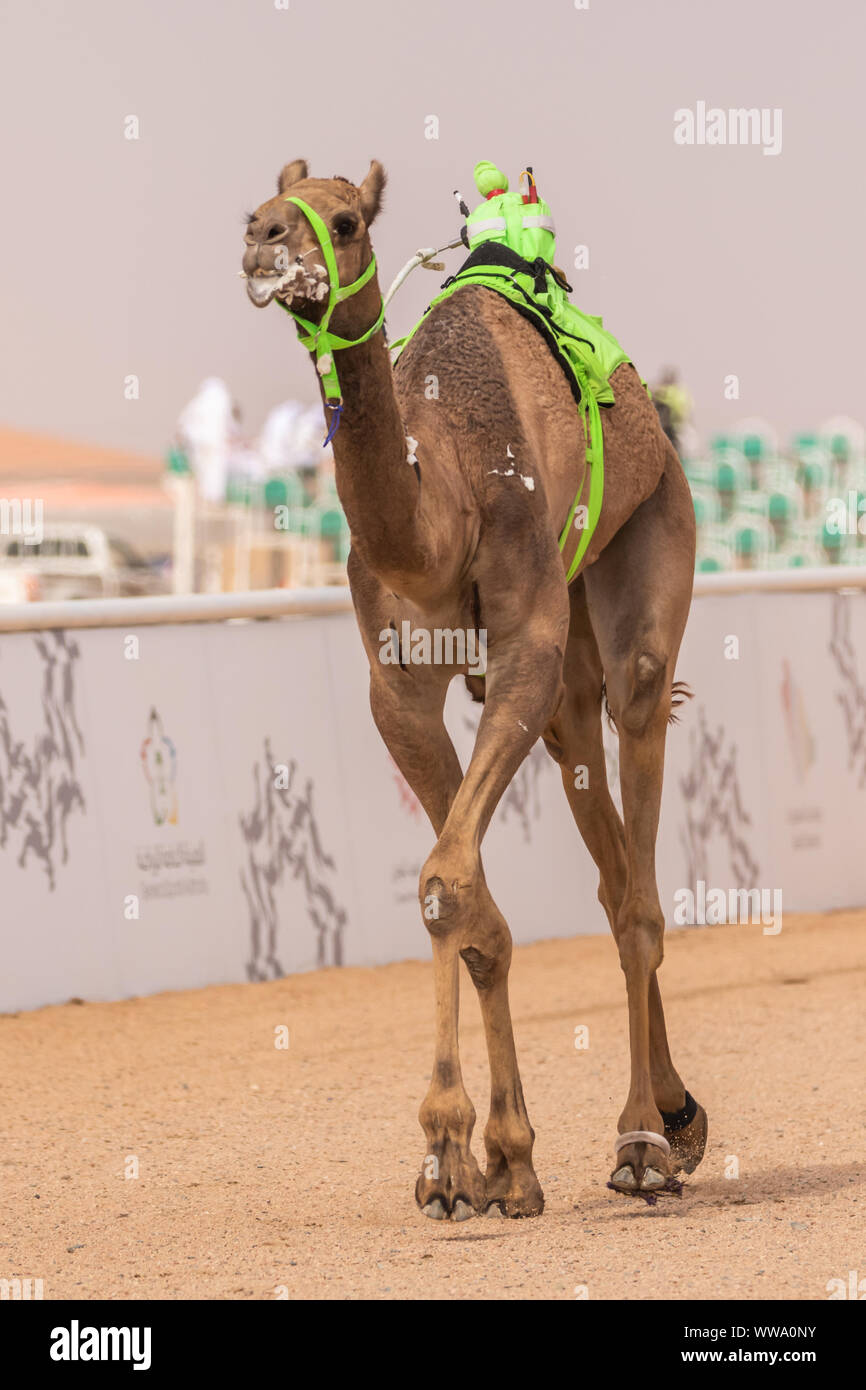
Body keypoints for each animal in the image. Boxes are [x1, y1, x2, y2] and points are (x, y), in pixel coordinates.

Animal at [243, 158, 707, 1218]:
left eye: (342, 219)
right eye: (258, 210)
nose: (266, 243)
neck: (440, 502)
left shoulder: (524, 644)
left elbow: (447, 884)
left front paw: (456, 1148)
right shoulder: (398, 691)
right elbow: (464, 903)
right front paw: (494, 1162)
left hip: (651, 537)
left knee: (640, 862)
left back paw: (640, 1142)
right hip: (569, 685)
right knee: (608, 855)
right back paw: (677, 1114)